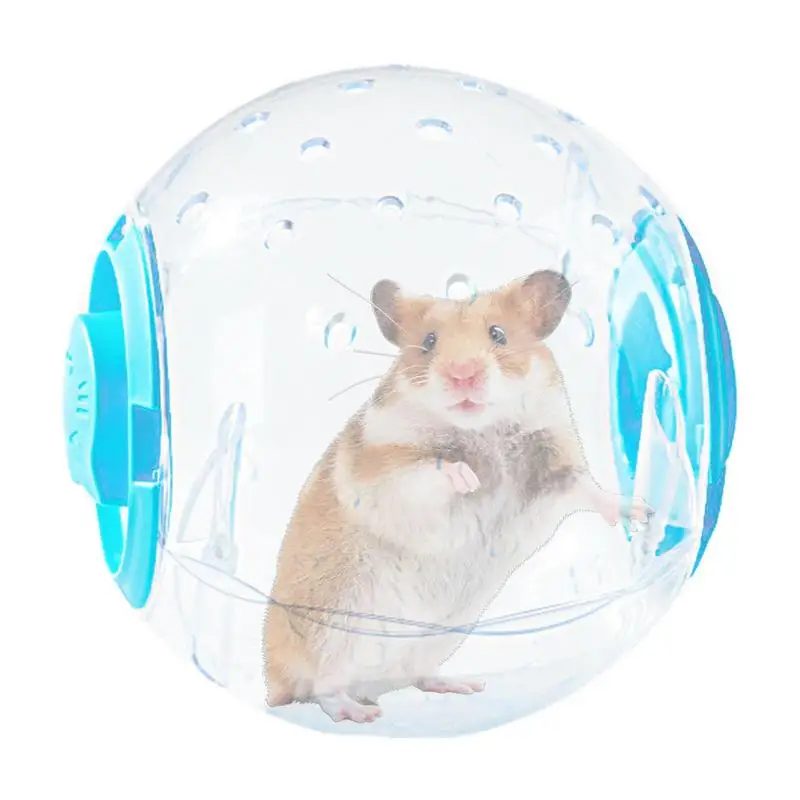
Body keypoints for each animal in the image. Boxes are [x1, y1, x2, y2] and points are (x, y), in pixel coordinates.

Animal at [263, 268, 652, 724]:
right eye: (429, 341)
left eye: (498, 334)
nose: (463, 375)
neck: (482, 429)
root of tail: (274, 682)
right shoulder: (384, 472)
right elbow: (429, 471)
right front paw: (468, 478)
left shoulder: (556, 466)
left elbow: (589, 489)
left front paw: (643, 511)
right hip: (333, 634)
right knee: (322, 690)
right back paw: (361, 713)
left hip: (434, 641)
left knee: (417, 676)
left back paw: (463, 685)